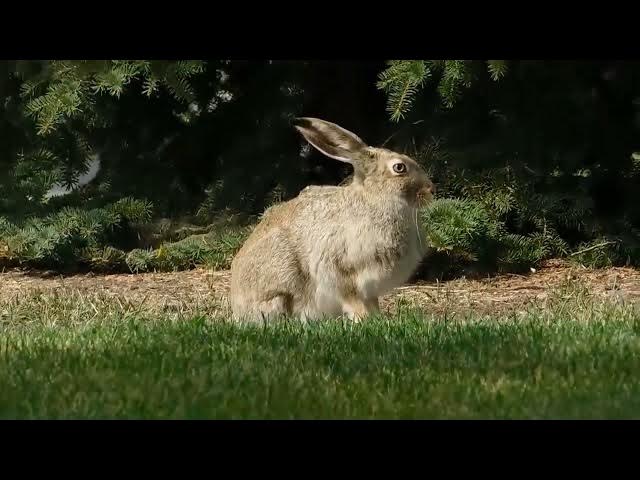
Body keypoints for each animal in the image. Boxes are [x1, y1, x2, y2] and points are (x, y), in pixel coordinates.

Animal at [230, 117, 435, 322]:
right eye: (399, 168)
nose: (431, 189)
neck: (376, 198)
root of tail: (237, 306)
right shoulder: (339, 272)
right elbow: (352, 300)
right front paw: (363, 320)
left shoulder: (370, 289)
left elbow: (372, 303)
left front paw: (377, 318)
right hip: (281, 287)